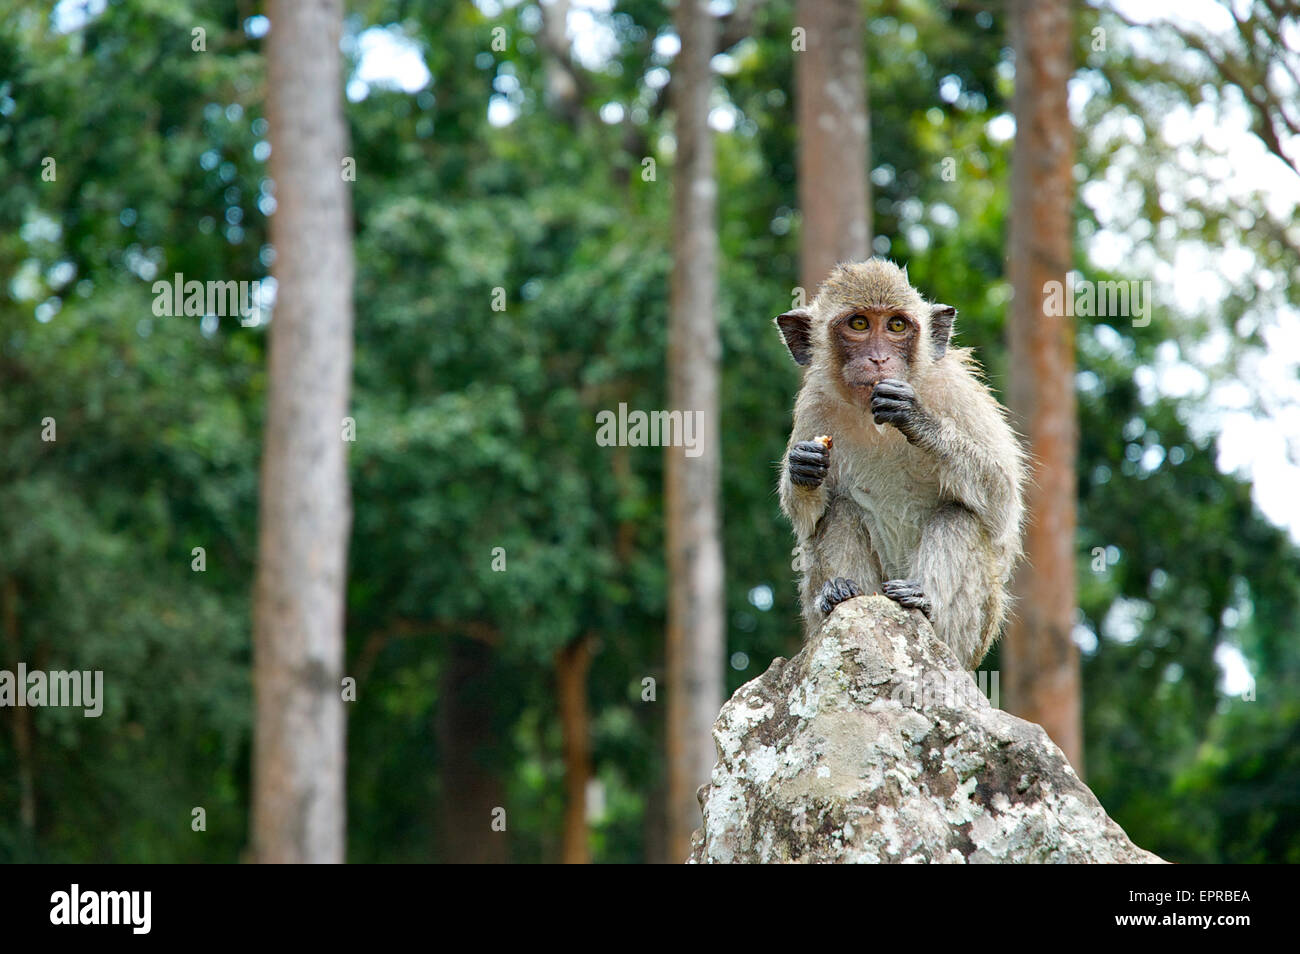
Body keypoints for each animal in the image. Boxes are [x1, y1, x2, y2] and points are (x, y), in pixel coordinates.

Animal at [775, 259, 1025, 670]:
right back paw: (838, 595)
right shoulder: (814, 404)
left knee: (960, 515)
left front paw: (916, 418)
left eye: (896, 325)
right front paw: (802, 468)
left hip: (969, 636)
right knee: (839, 511)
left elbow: (1002, 499)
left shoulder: (954, 391)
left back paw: (923, 603)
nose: (879, 359)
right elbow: (808, 519)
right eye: (859, 324)